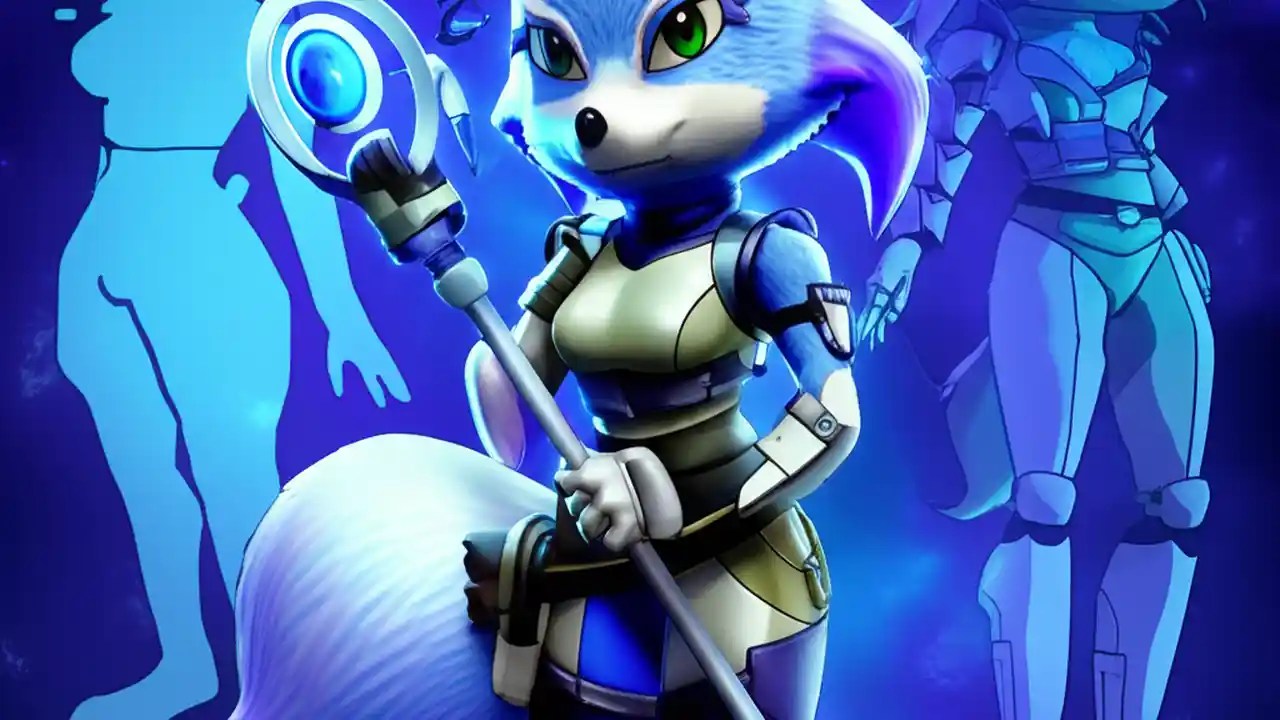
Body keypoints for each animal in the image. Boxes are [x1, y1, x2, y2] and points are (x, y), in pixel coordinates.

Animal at [231, 0, 928, 718]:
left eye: (685, 31)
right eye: (552, 54)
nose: (590, 123)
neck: (666, 228)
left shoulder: (781, 252)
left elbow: (827, 410)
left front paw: (629, 495)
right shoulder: (572, 250)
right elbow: (513, 370)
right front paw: (406, 199)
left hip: (761, 632)